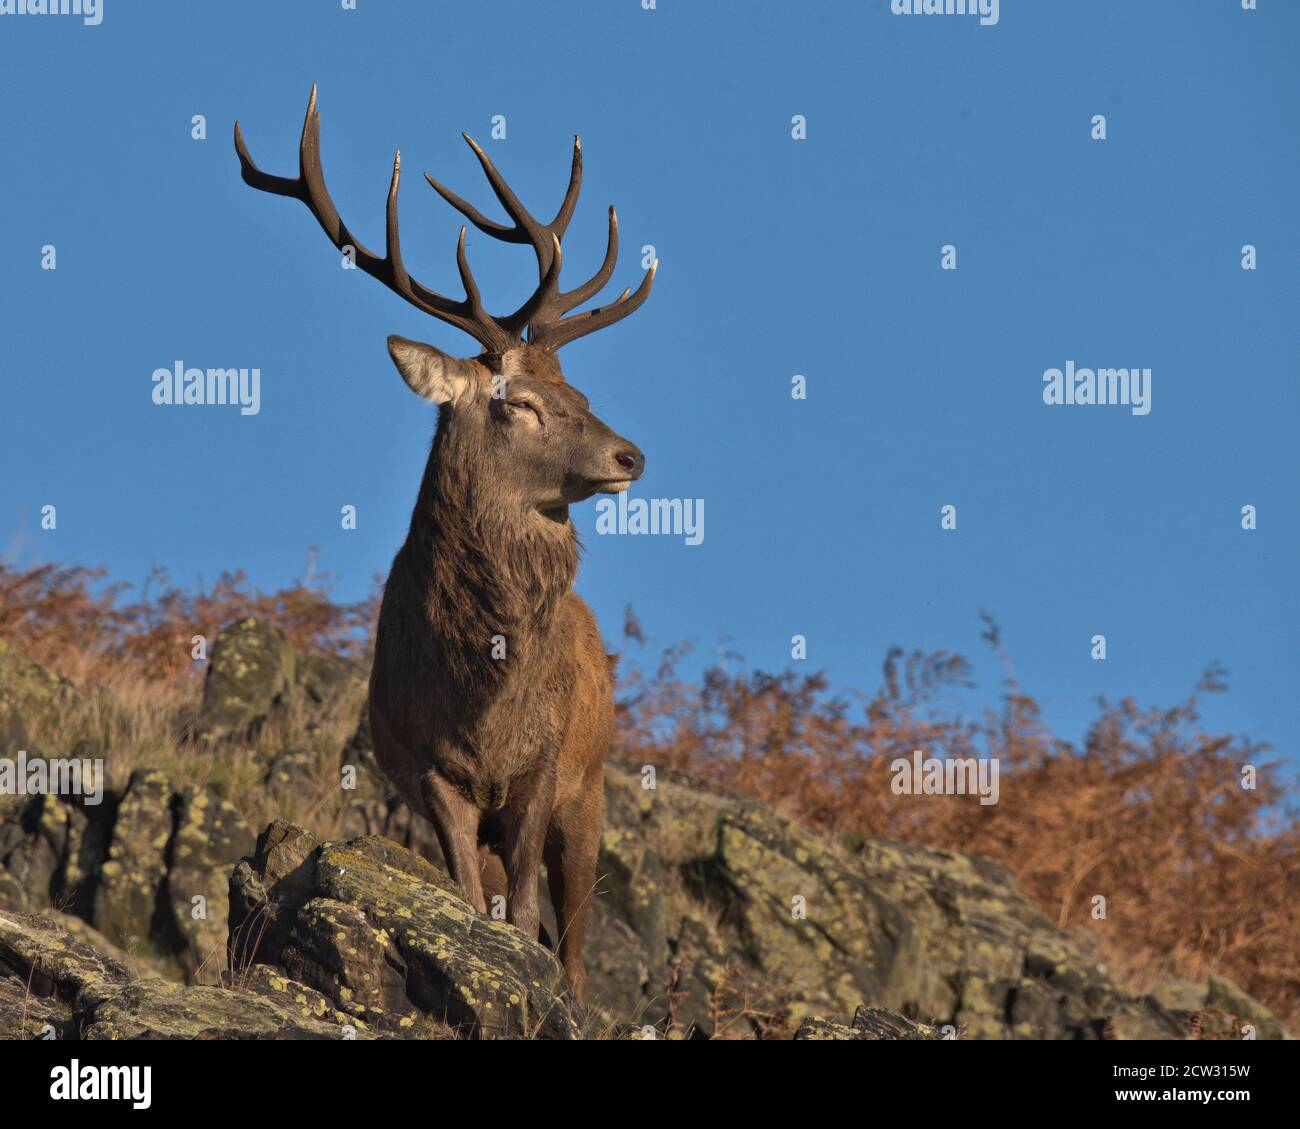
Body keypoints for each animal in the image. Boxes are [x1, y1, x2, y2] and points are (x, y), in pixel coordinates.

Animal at [234, 87, 656, 1006]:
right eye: (519, 402)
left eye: (580, 391)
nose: (630, 456)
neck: (481, 693)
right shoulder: (429, 772)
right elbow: (470, 898)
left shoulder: (546, 764)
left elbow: (531, 909)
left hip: (594, 785)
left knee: (572, 932)